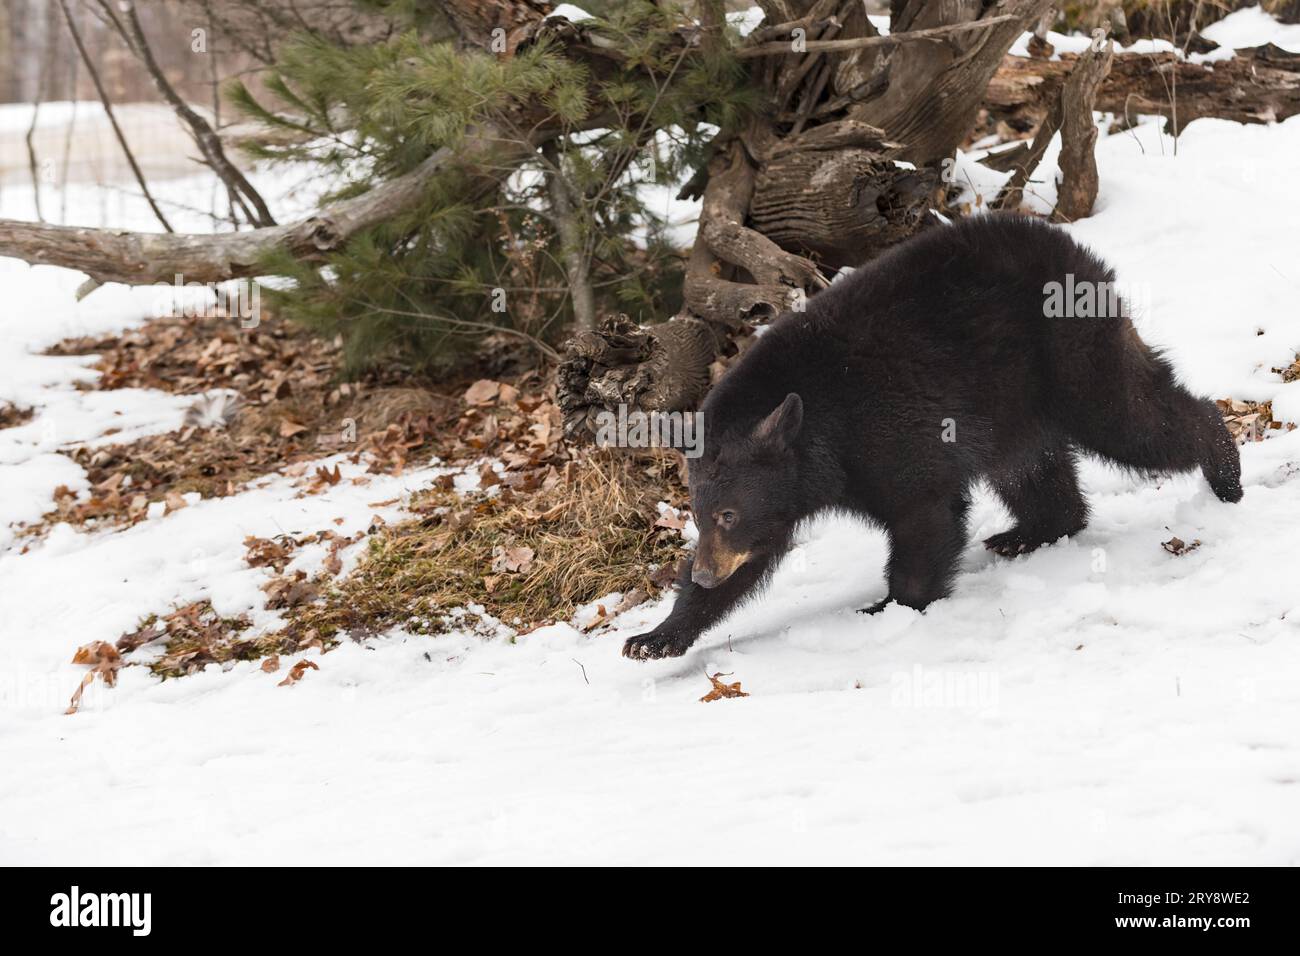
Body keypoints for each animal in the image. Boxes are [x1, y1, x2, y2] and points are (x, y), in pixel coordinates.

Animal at [623, 213, 1242, 660]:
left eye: (727, 513)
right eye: (698, 514)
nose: (704, 572)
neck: (823, 431)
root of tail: (1070, 244)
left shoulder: (887, 431)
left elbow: (926, 513)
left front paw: (891, 606)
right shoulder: (786, 489)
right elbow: (753, 557)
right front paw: (654, 637)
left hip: (1067, 350)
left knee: (1131, 416)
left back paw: (1225, 469)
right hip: (1014, 396)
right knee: (1032, 466)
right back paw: (1030, 532)